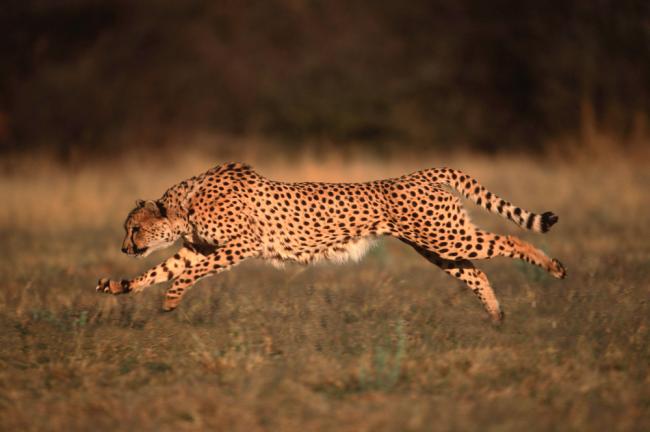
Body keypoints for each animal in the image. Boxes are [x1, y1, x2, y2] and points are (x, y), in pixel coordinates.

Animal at [96, 162, 566, 323]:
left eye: (133, 229)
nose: (123, 248)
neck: (185, 203)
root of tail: (422, 172)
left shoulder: (240, 245)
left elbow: (188, 273)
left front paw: (173, 297)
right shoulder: (200, 246)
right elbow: (159, 269)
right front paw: (118, 286)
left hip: (447, 236)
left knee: (508, 237)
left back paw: (554, 267)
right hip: (437, 246)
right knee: (476, 272)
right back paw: (496, 314)